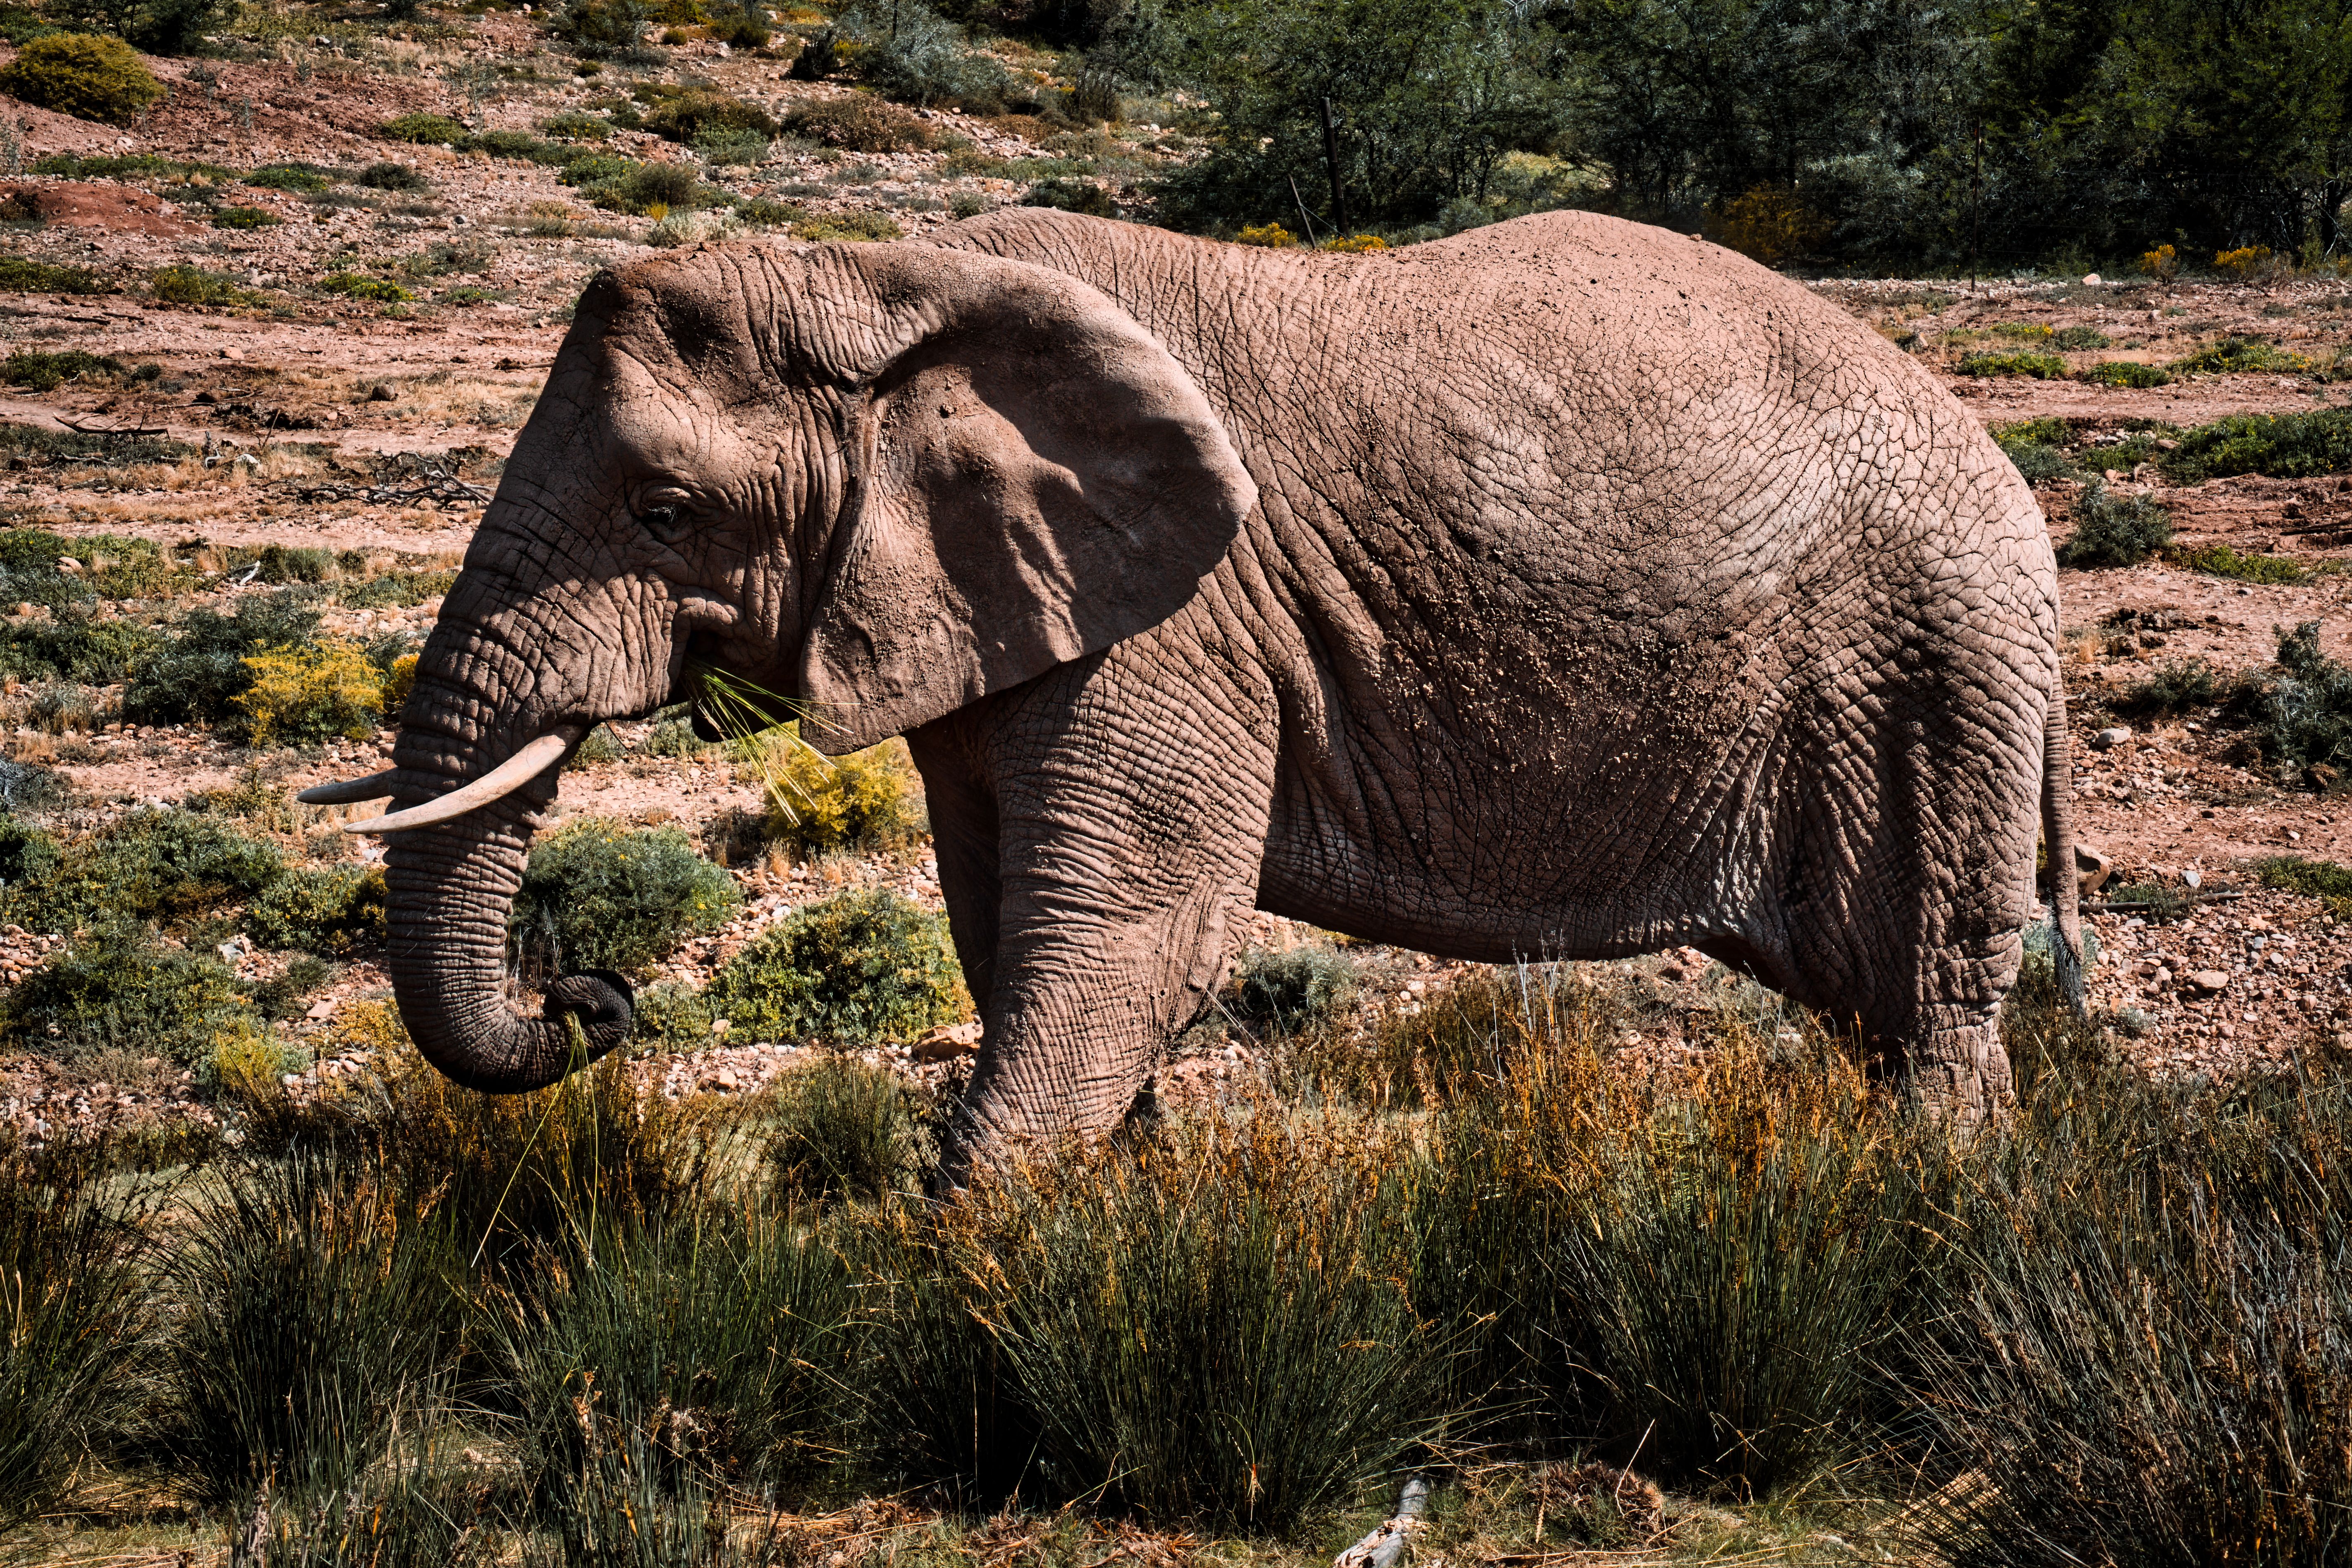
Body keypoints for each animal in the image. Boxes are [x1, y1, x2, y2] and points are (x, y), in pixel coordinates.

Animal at [308, 207, 2083, 1177]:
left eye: (666, 512)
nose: (585, 995)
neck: (886, 278)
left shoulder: (1176, 621)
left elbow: (1128, 923)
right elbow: (1011, 919)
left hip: (1928, 665)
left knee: (1922, 993)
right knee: (1893, 1009)